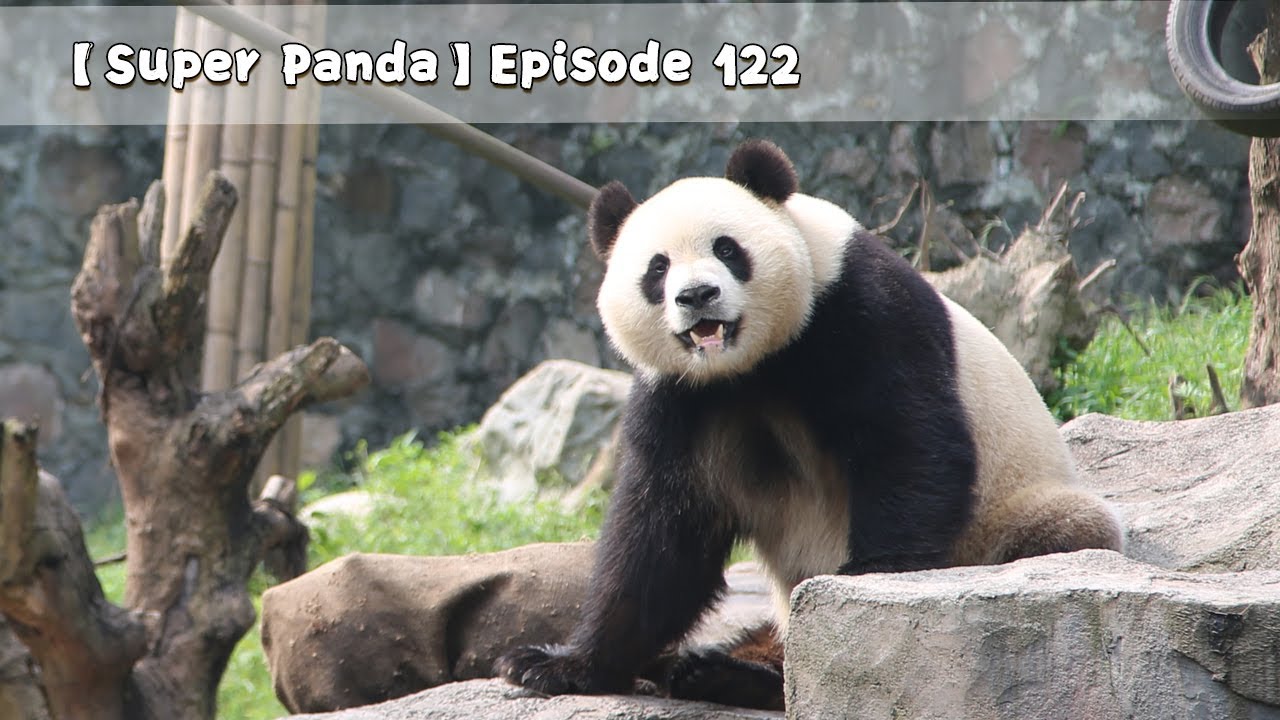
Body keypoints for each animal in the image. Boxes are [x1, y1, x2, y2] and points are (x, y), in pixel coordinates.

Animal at [497, 139, 1124, 710]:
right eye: (657, 268)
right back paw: (720, 671)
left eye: (727, 248)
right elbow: (660, 534)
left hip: (1013, 513)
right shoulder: (681, 396)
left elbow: (908, 438)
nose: (697, 295)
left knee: (1060, 532)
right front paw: (556, 665)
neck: (748, 366)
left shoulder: (859, 309)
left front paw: (872, 571)